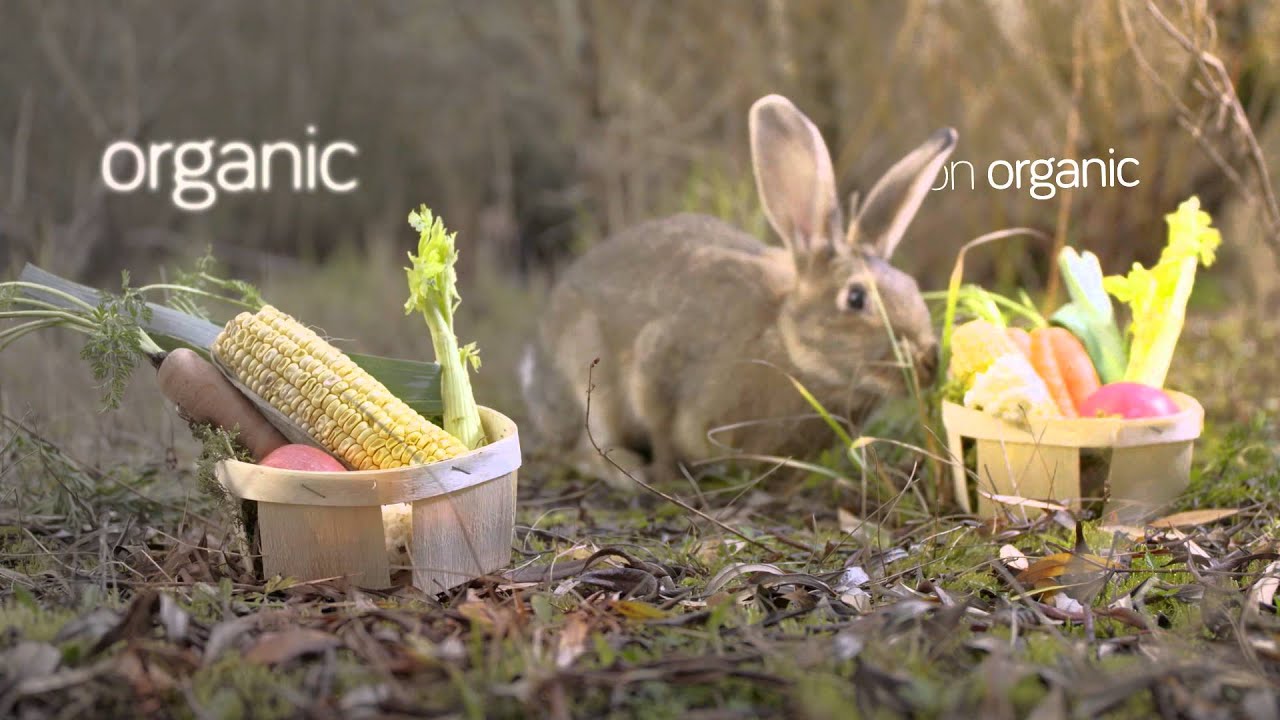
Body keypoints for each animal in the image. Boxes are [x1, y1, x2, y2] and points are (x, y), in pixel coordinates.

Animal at [521, 94, 956, 491]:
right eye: (856, 298)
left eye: (913, 287)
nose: (928, 361)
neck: (788, 346)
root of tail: (534, 374)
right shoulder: (660, 357)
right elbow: (659, 425)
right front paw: (665, 475)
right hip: (583, 370)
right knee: (579, 447)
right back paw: (625, 469)